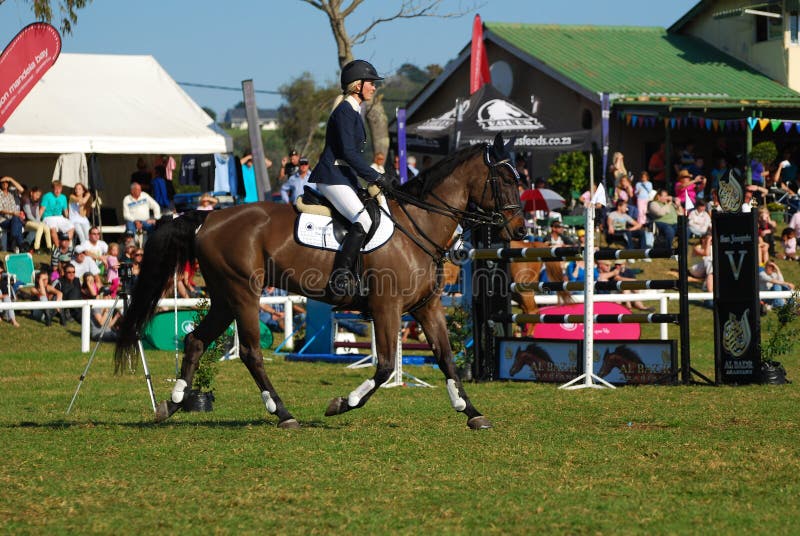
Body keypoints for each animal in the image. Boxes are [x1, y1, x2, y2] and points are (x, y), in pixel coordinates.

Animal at [116, 133, 526, 430]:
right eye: (506, 178)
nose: (520, 229)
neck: (418, 224)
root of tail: (207, 218)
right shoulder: (387, 307)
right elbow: (384, 366)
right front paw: (343, 403)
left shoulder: (426, 307)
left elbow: (445, 357)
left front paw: (470, 410)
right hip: (244, 293)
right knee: (250, 352)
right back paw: (283, 413)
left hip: (223, 296)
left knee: (196, 340)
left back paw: (173, 404)